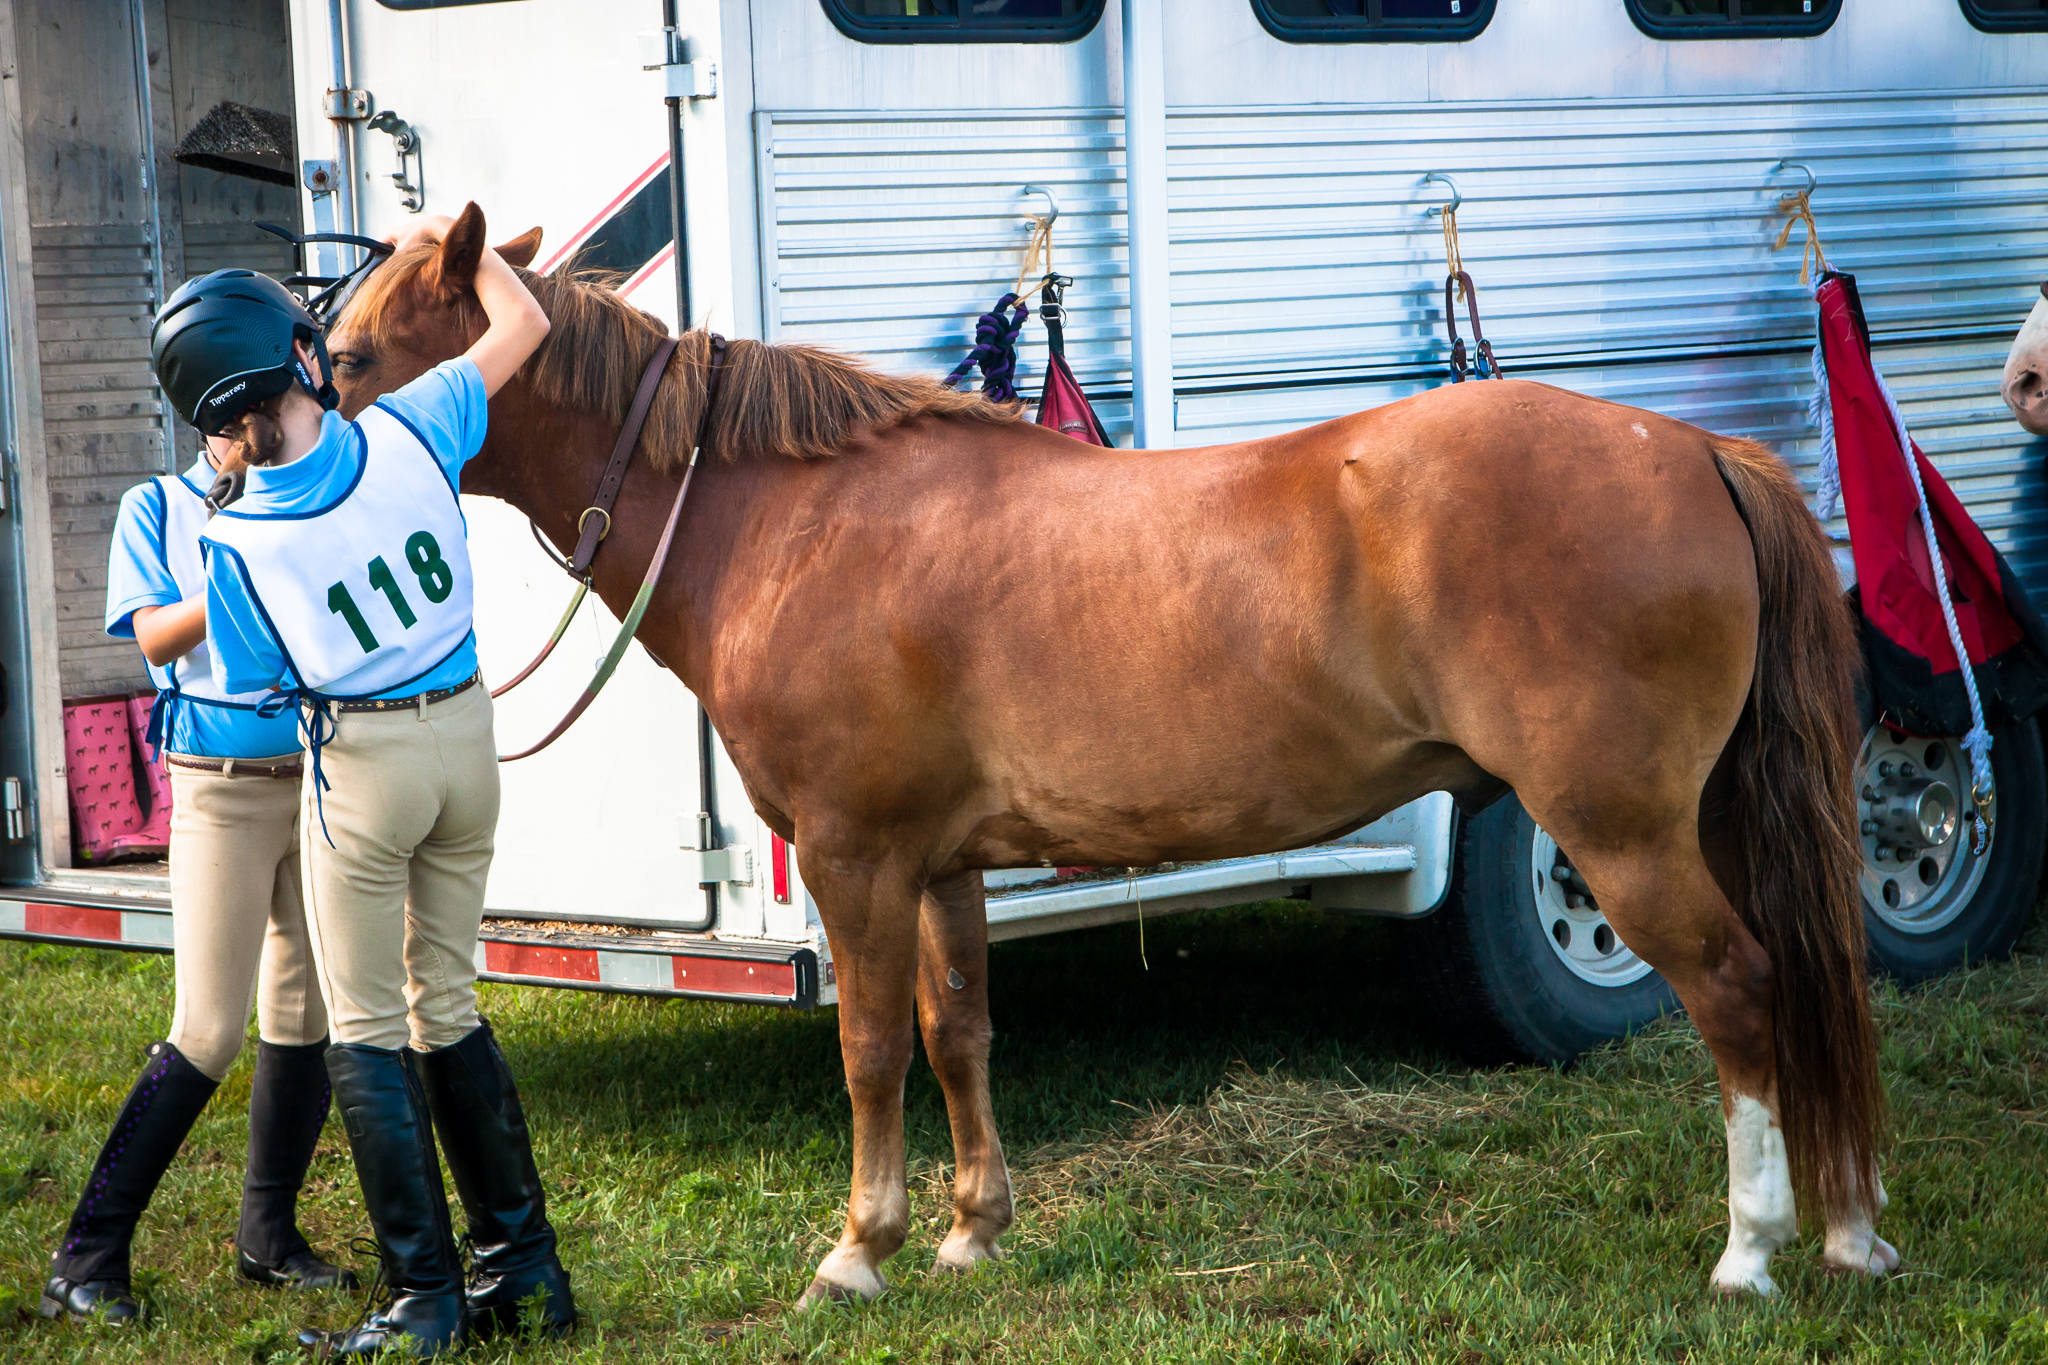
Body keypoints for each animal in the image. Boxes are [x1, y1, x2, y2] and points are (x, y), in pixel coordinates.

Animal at [325, 204, 1894, 1303]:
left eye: (346, 355)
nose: (275, 461)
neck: (793, 519)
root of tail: (1692, 453)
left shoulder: (854, 856)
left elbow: (870, 1049)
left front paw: (859, 1251)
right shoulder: (942, 863)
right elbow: (959, 1032)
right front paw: (972, 1233)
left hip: (1619, 828)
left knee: (1740, 990)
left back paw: (1753, 1250)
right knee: (1802, 981)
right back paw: (1850, 1234)